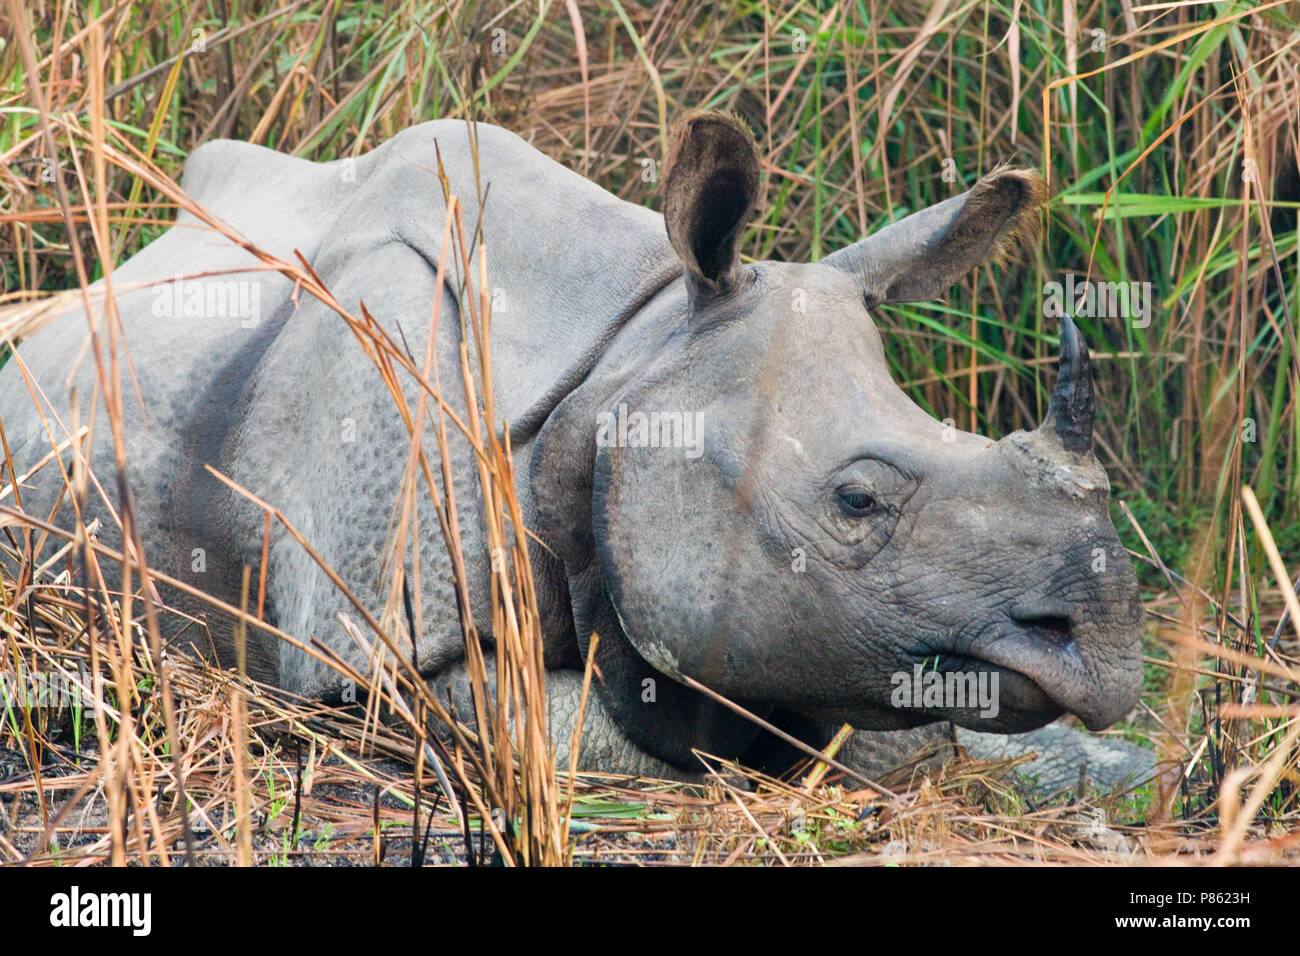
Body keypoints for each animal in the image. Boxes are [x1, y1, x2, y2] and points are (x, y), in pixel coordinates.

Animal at [0, 111, 1151, 791]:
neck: (631, 361)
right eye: (856, 500)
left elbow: (891, 734)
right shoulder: (368, 650)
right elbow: (571, 732)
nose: (1099, 645)